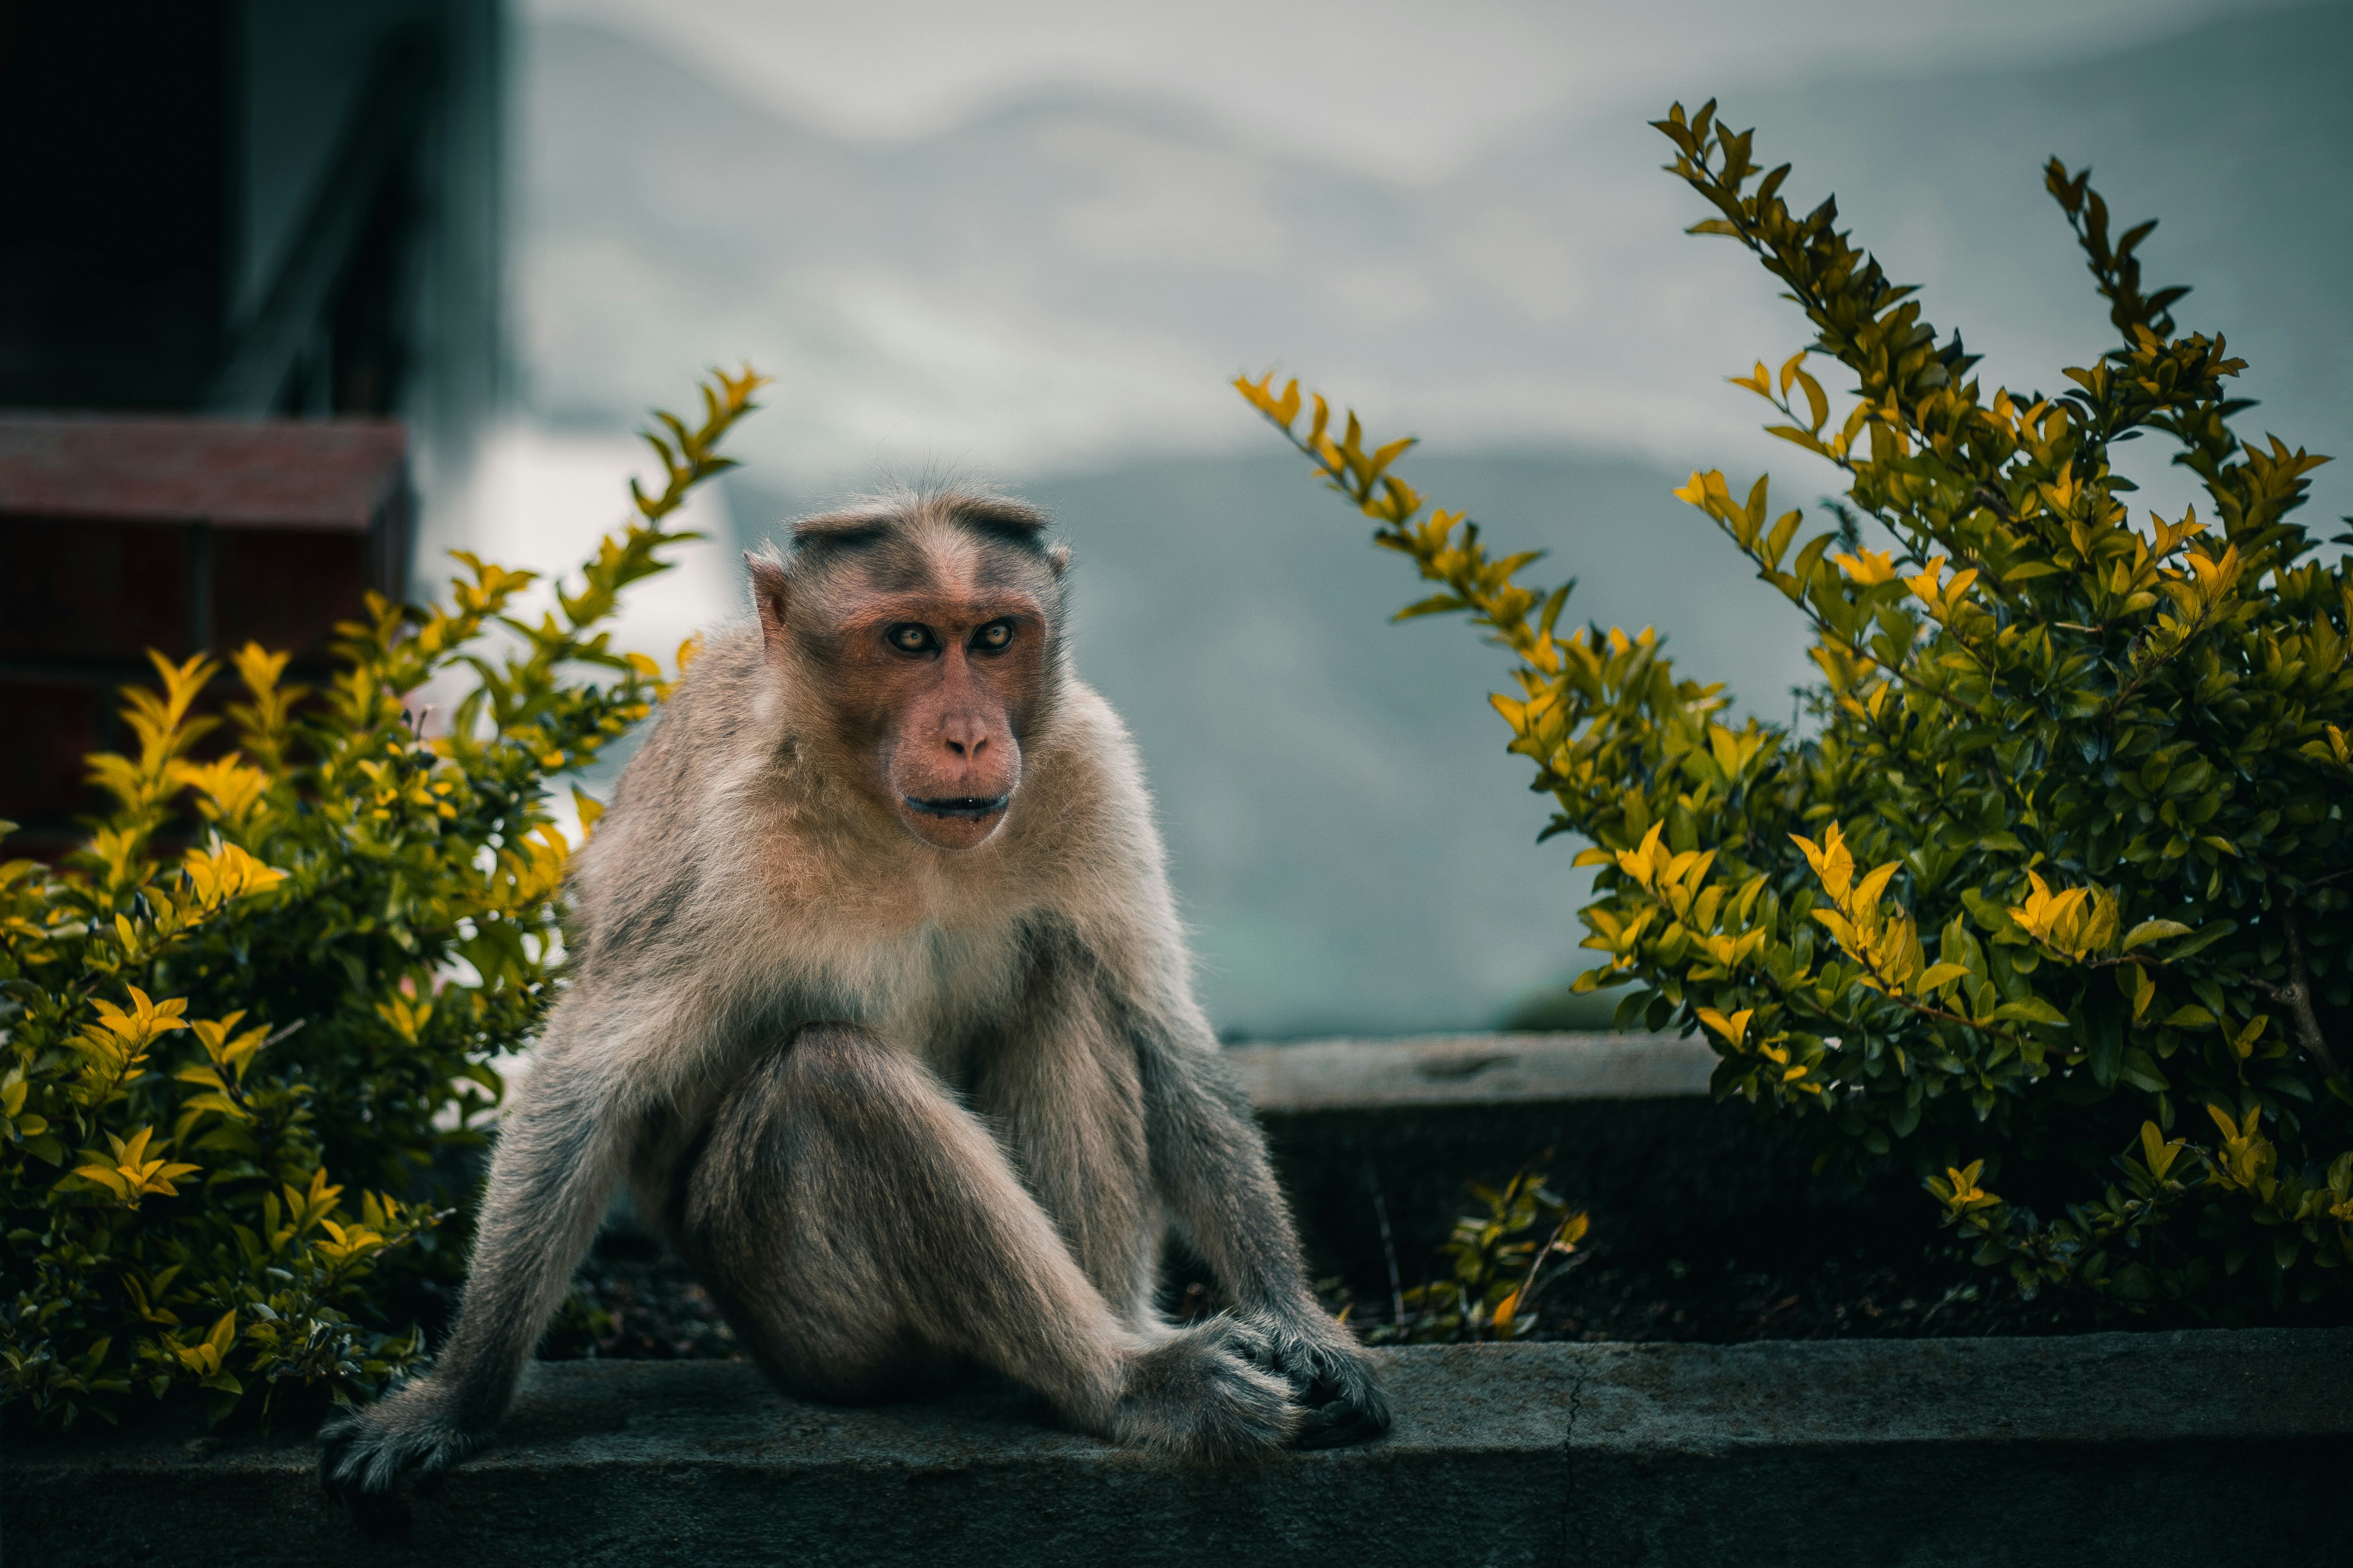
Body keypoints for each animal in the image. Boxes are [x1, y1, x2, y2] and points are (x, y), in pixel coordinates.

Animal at [319, 488, 1390, 1498]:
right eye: (910, 640)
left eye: (993, 637)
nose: (968, 737)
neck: (889, 818)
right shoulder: (728, 845)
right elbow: (587, 1091)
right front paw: (456, 1400)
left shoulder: (1090, 765)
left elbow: (1165, 1034)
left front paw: (1299, 1323)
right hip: (807, 1323)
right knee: (834, 1076)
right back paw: (1125, 1381)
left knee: (1063, 978)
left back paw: (1133, 1341)